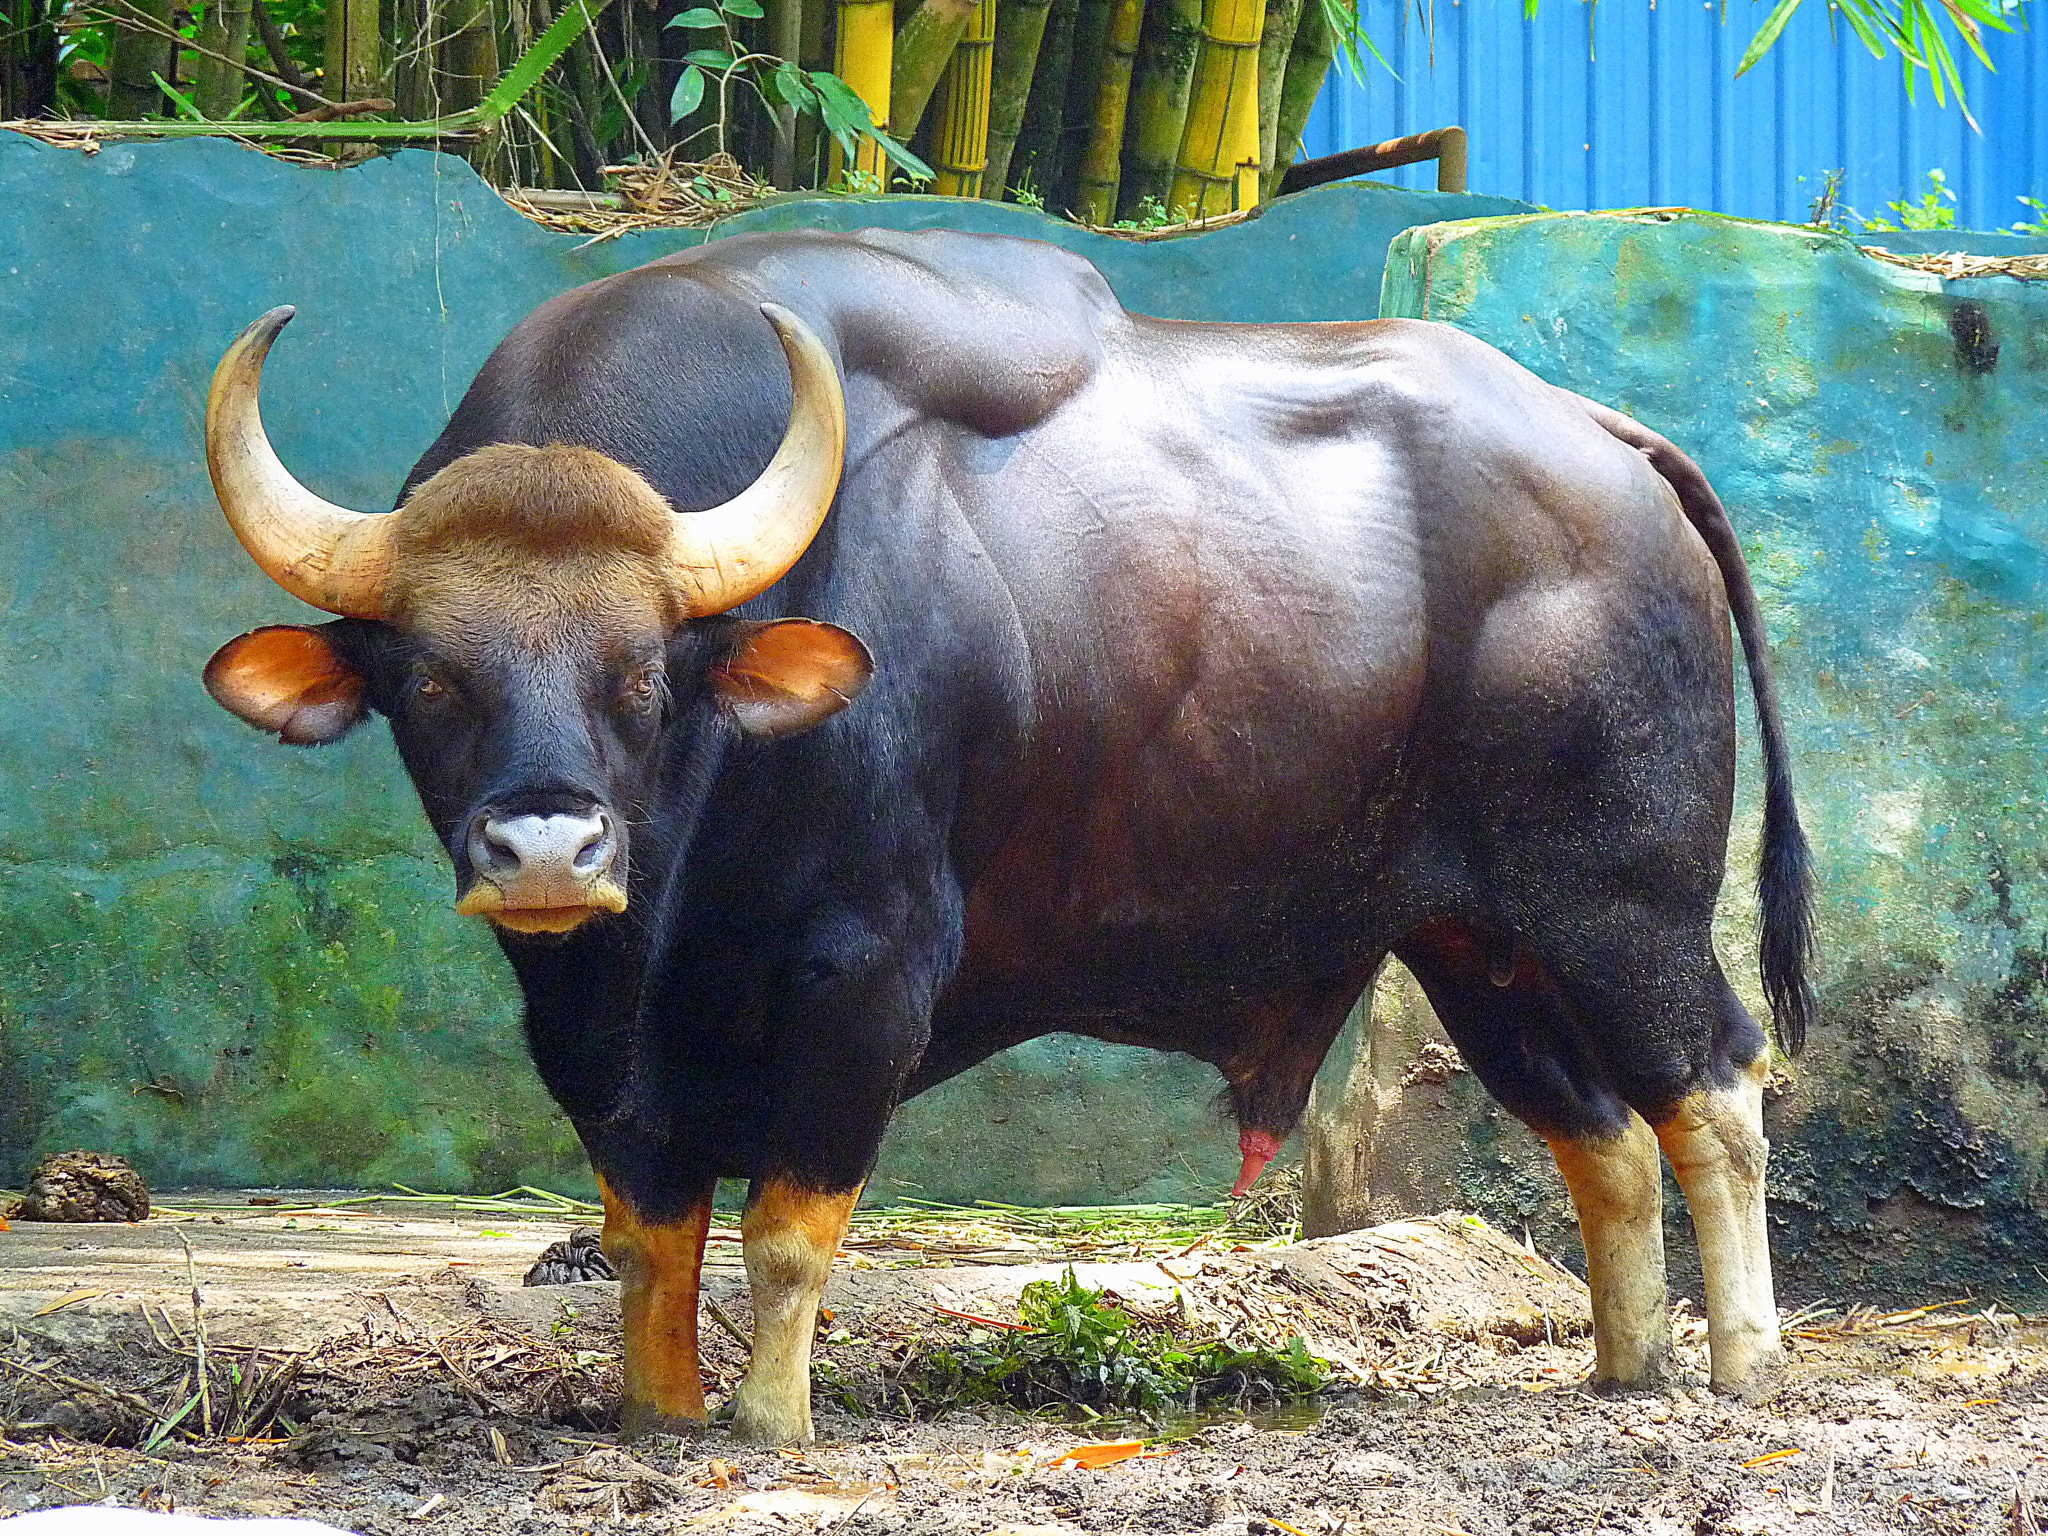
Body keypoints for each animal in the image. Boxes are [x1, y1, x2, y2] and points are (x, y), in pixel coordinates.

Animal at [198, 226, 1813, 1446]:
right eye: (430, 679)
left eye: (644, 673)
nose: (546, 851)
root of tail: (1604, 440)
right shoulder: (587, 1019)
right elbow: (648, 1233)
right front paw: (657, 1413)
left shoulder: (868, 974)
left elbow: (789, 1228)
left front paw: (767, 1425)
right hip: (1476, 936)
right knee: (1598, 1130)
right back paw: (1625, 1366)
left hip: (1622, 899)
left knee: (1714, 1085)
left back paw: (1744, 1363)